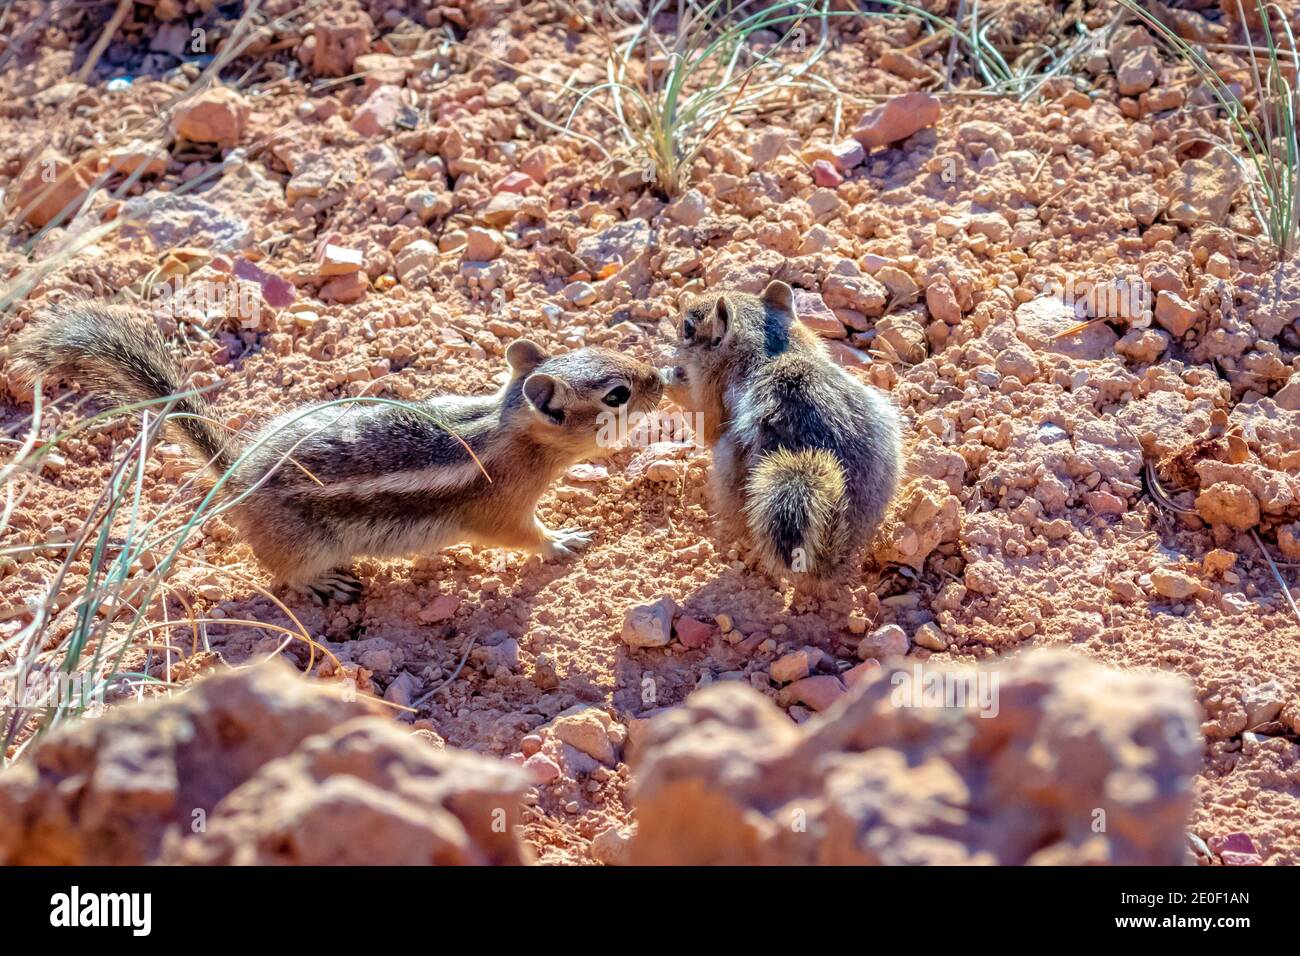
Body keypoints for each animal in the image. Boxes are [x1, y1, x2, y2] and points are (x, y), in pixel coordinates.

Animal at [11, 302, 666, 602]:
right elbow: (525, 537)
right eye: (619, 393)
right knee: (283, 575)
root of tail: (235, 481)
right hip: (303, 545)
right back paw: (322, 587)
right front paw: (563, 542)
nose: (660, 377)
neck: (510, 426)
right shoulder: (500, 509)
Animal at [663, 280, 902, 590]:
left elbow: (704, 421)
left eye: (689, 326)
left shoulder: (711, 393)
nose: (673, 333)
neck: (771, 350)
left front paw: (669, 378)